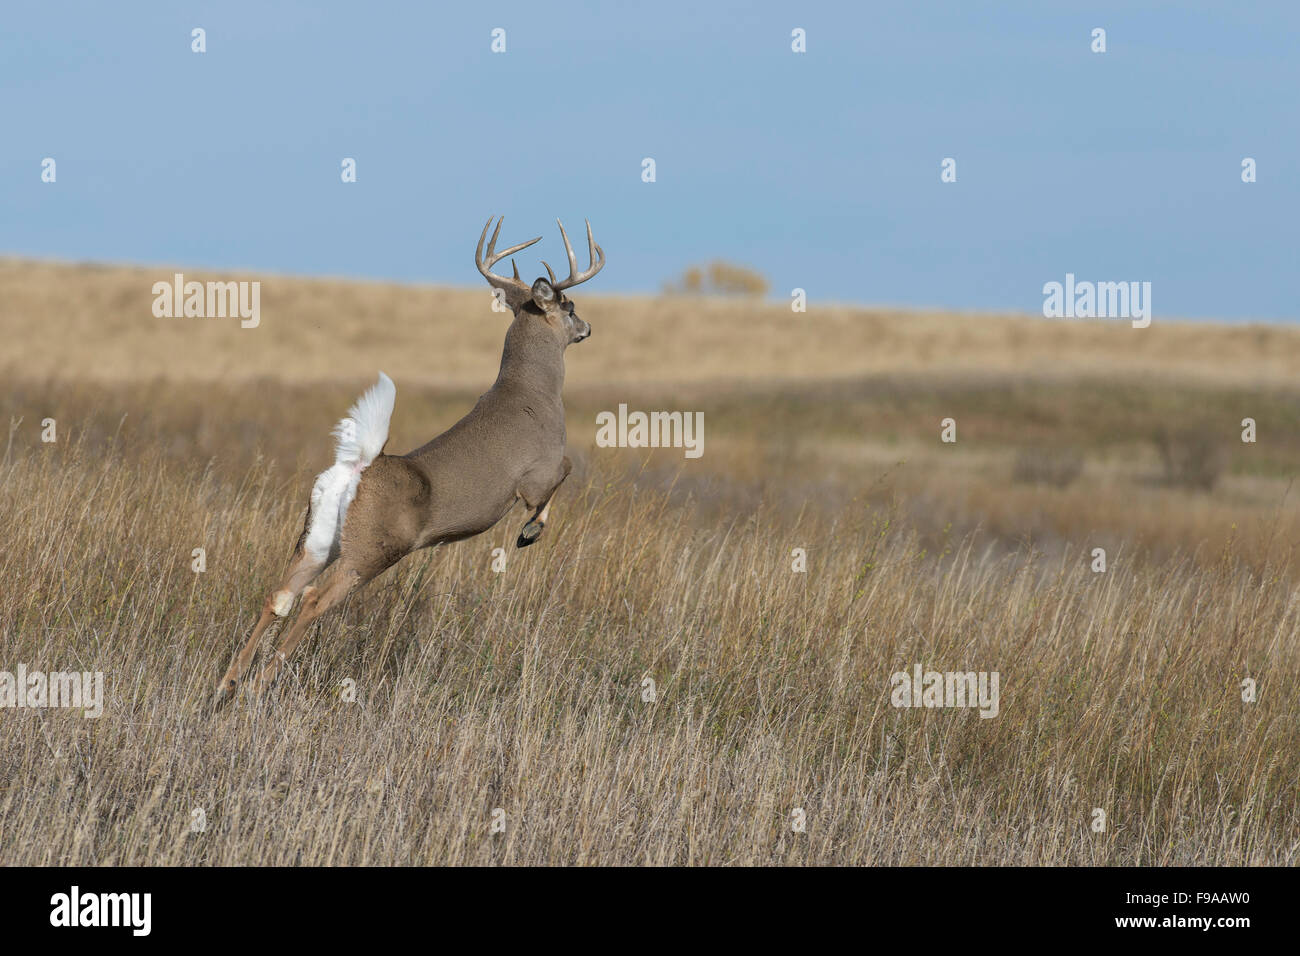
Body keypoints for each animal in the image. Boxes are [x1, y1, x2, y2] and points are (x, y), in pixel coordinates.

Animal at [212, 216, 604, 710]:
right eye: (569, 306)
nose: (588, 326)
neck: (533, 393)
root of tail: (357, 469)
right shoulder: (536, 472)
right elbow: (564, 473)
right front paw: (529, 532)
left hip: (317, 540)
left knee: (279, 594)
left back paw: (226, 685)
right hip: (373, 549)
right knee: (314, 600)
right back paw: (260, 685)